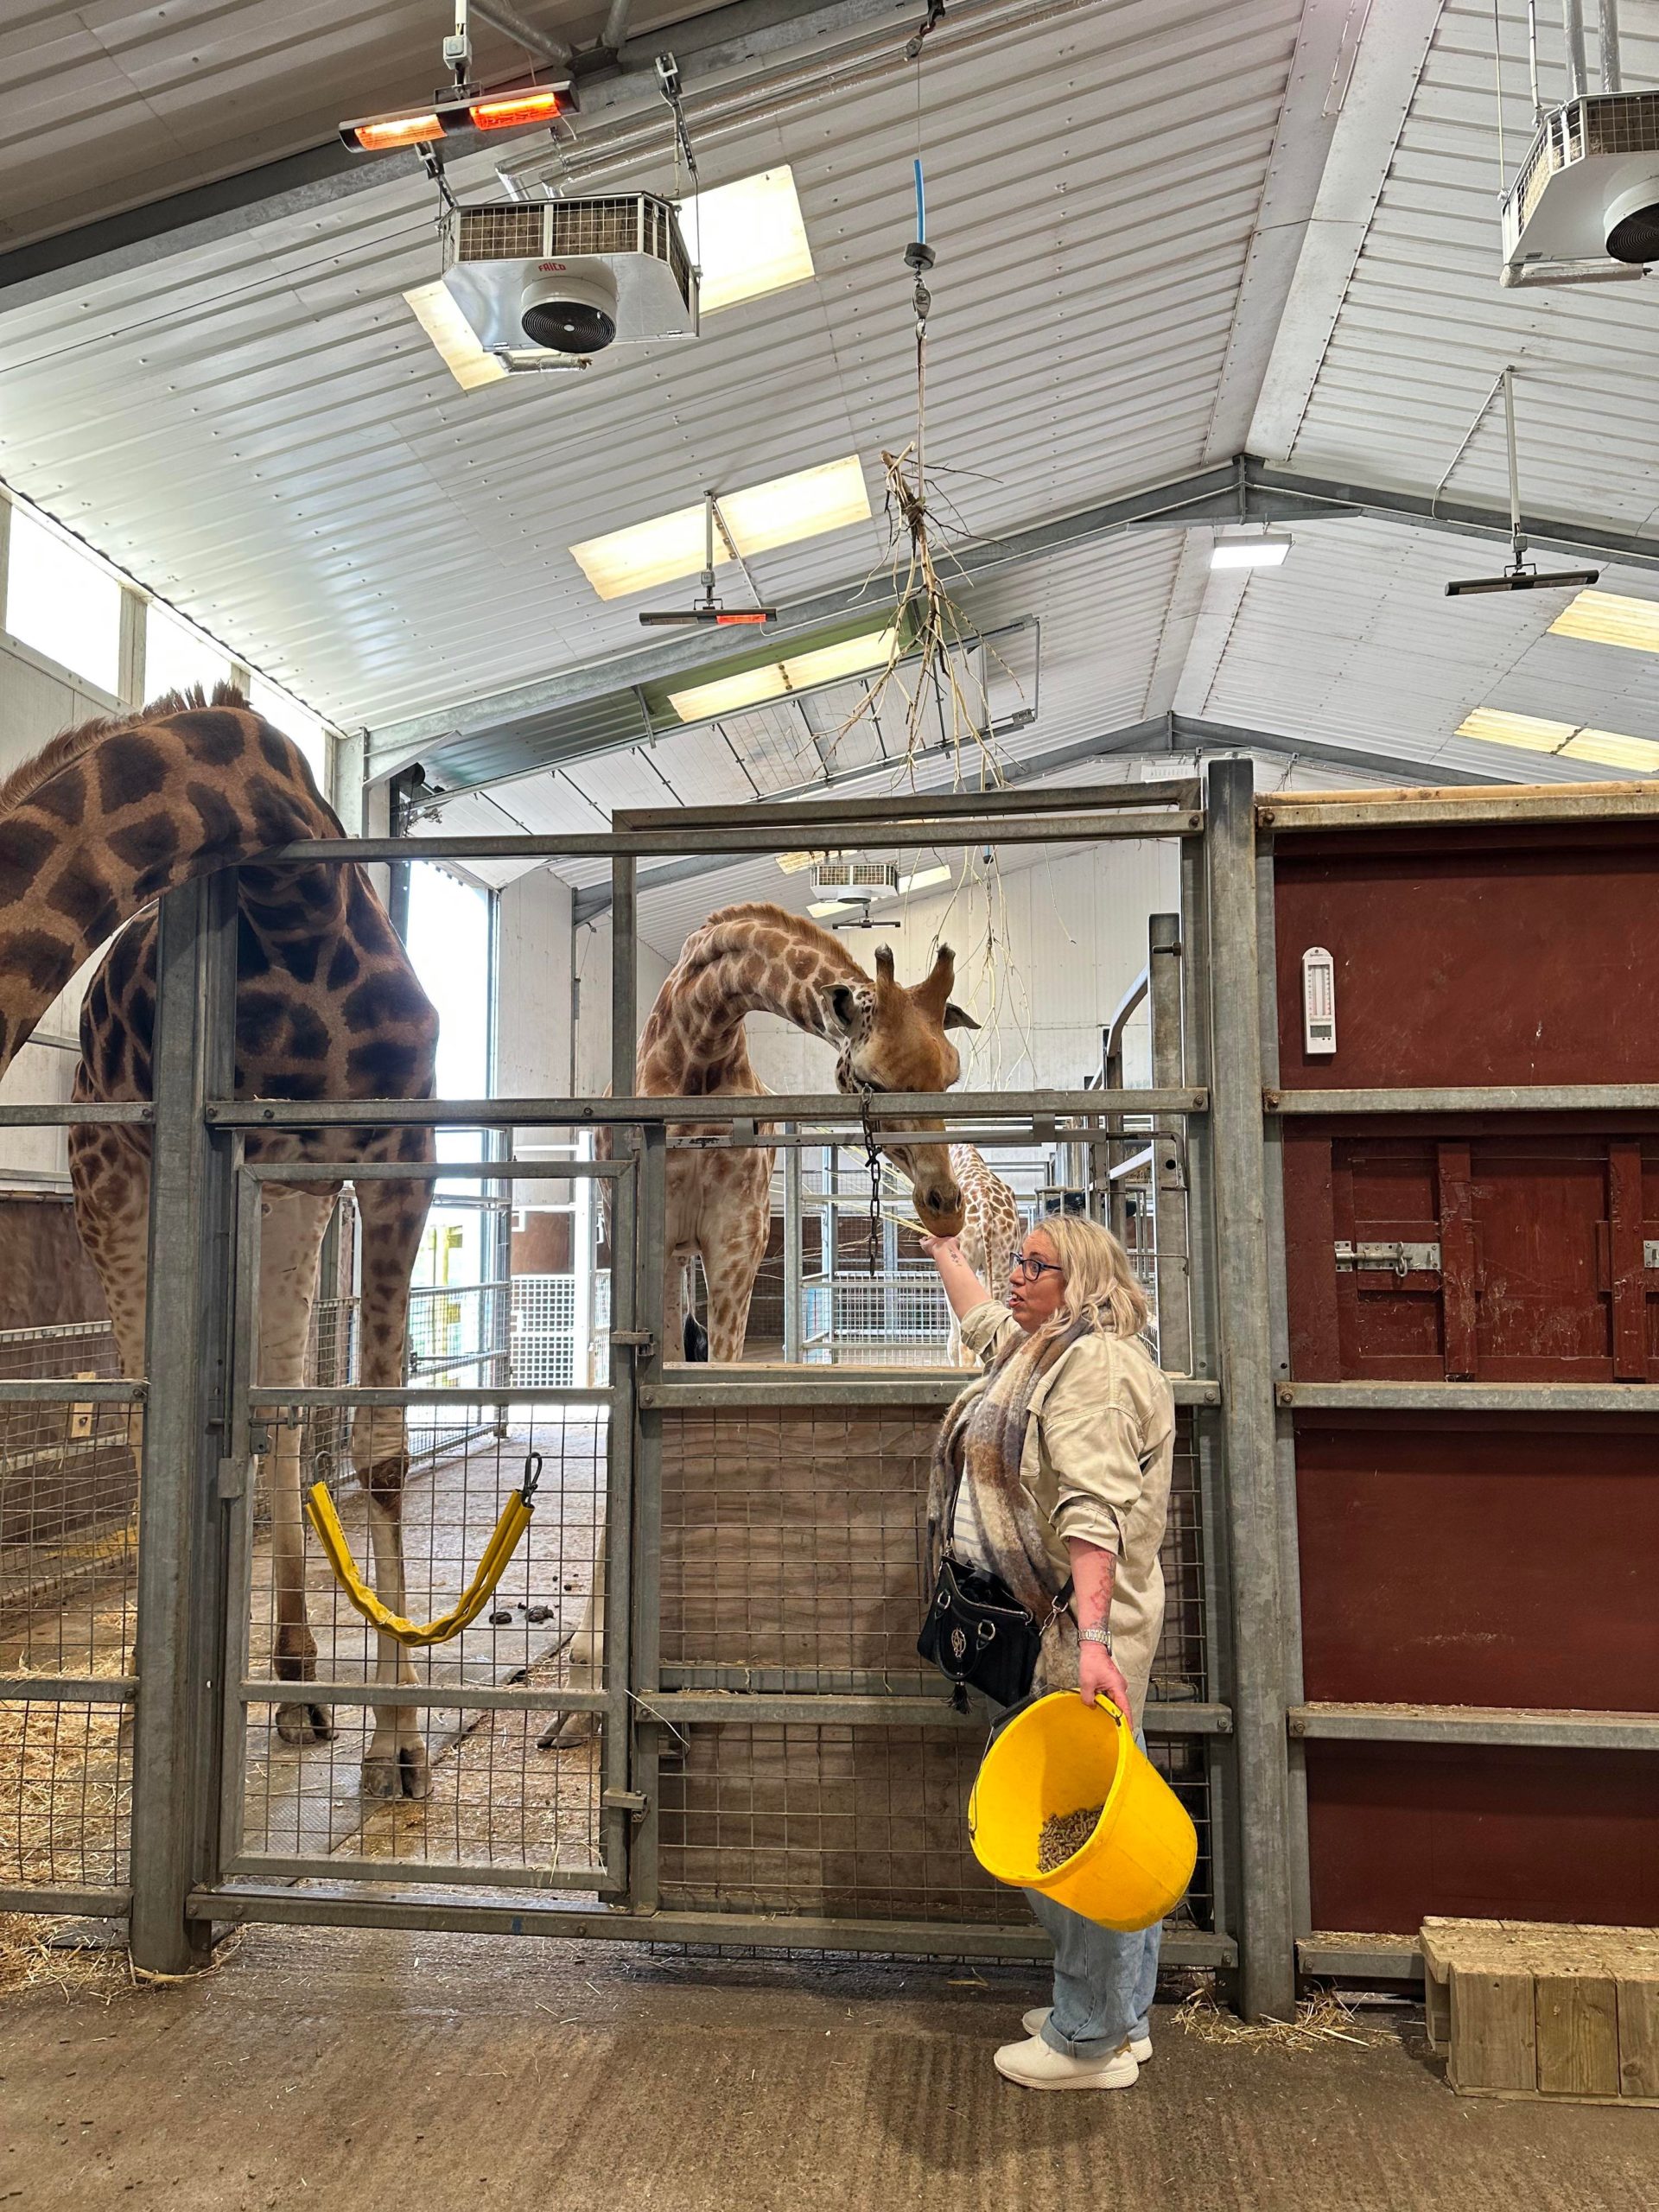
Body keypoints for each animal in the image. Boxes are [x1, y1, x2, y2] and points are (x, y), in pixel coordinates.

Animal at [0, 685, 440, 1799]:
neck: (296, 910)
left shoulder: (397, 1151)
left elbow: (378, 1452)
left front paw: (398, 1742)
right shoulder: (170, 1153)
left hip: (290, 1196)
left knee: (279, 1403)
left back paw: (298, 1680)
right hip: (124, 1171)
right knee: (179, 1400)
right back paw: (174, 1703)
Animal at [544, 902, 978, 1748]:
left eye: (951, 1076)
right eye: (873, 1080)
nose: (946, 1207)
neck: (695, 1050)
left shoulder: (738, 1244)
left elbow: (713, 1388)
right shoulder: (649, 1245)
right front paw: (584, 1682)